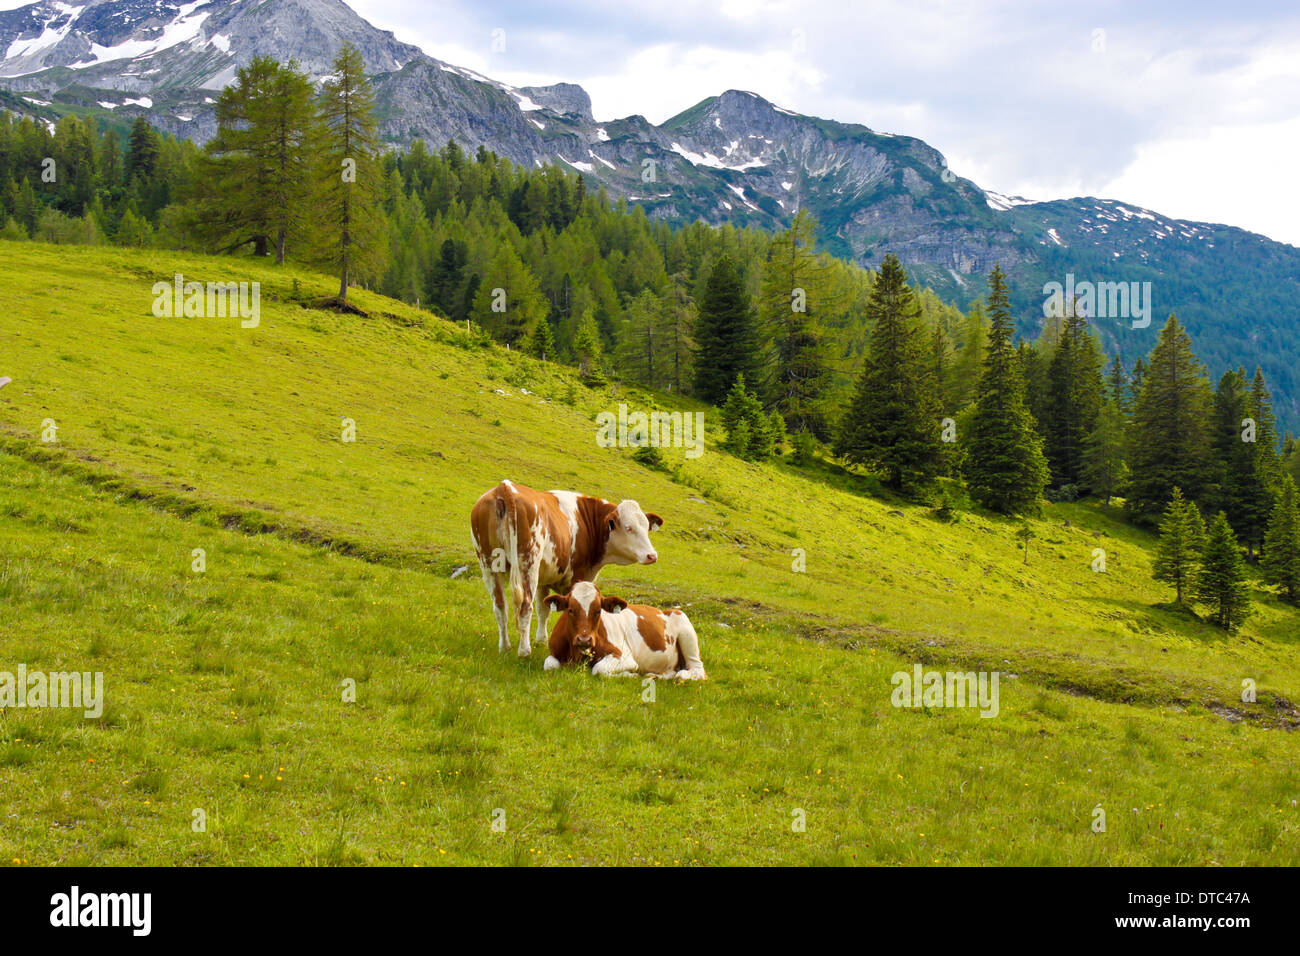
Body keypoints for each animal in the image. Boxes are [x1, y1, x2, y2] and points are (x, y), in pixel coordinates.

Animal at [470, 481, 663, 657]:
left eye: (646, 527)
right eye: (629, 528)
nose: (652, 555)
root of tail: (505, 487)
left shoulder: (544, 578)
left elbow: (544, 609)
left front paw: (541, 640)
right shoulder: (577, 576)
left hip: (488, 565)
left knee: (500, 606)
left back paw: (504, 647)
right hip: (528, 563)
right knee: (525, 606)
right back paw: (524, 651)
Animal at [541, 581, 707, 680]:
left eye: (598, 611)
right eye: (570, 610)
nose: (584, 640)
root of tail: (664, 610)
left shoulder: (624, 657)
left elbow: (599, 669)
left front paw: (629, 675)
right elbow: (549, 665)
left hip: (684, 625)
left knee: (697, 669)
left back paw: (682, 674)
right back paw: (654, 675)